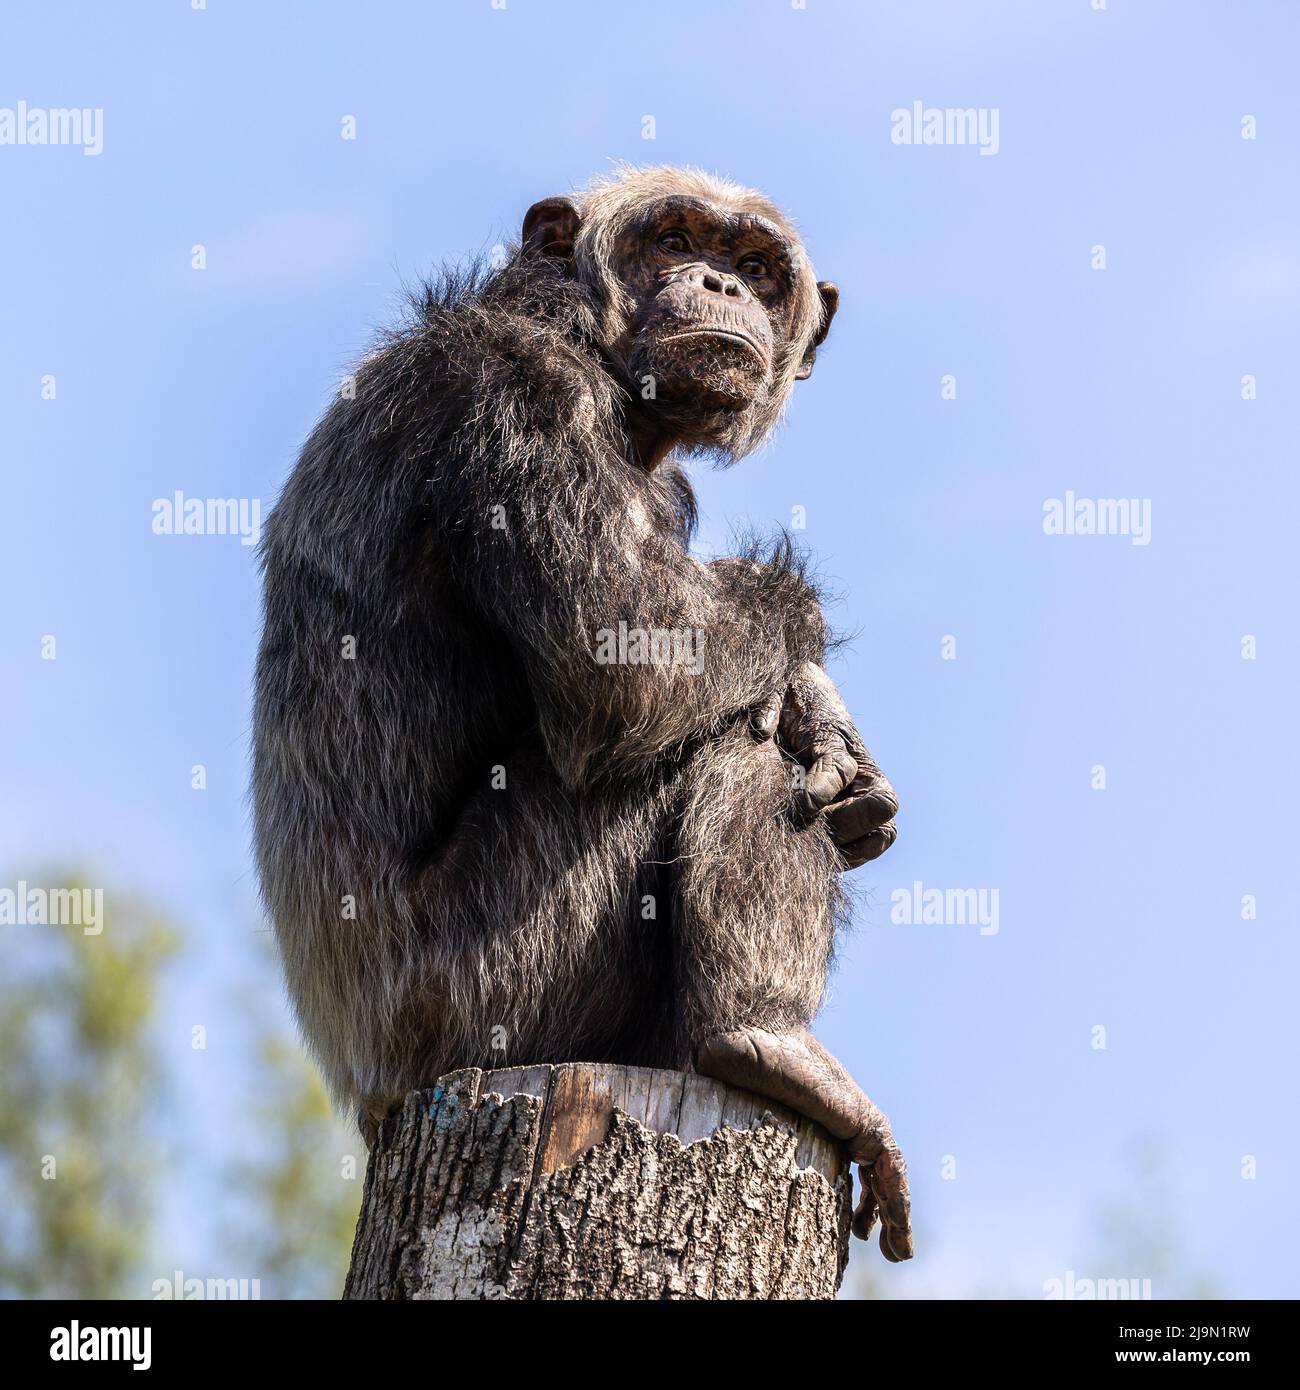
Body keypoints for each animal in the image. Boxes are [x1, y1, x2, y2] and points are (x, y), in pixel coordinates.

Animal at [252, 165, 912, 1261]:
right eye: (675, 239)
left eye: (756, 266)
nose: (717, 284)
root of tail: (370, 1088)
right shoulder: (519, 395)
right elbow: (627, 652)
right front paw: (811, 687)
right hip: (490, 982)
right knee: (719, 748)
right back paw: (762, 1037)